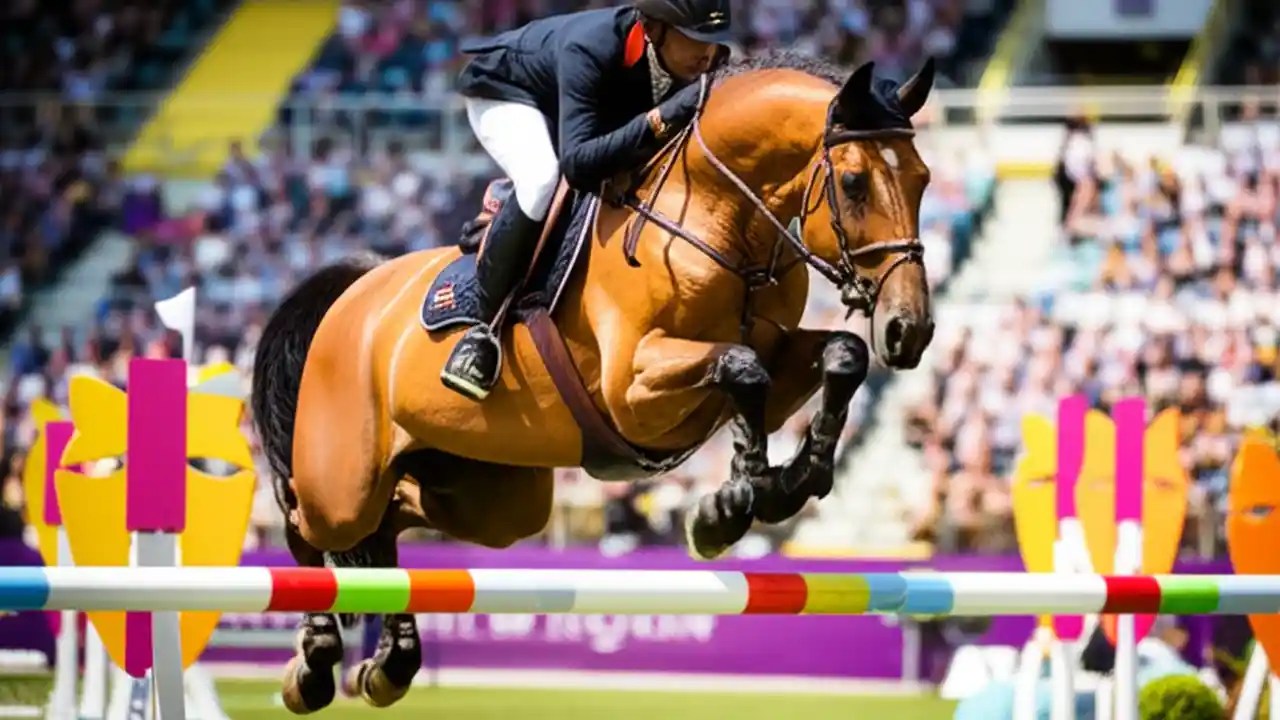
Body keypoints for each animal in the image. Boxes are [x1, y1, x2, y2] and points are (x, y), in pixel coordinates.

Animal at [250, 51, 936, 713]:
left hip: (489, 496)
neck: (718, 215)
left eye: (923, 178)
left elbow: (840, 354)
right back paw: (313, 663)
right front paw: (739, 500)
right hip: (344, 483)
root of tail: (355, 289)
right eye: (853, 182)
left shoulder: (769, 354)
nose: (910, 329)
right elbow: (744, 366)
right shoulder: (632, 389)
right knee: (309, 522)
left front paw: (774, 488)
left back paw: (390, 663)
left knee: (394, 521)